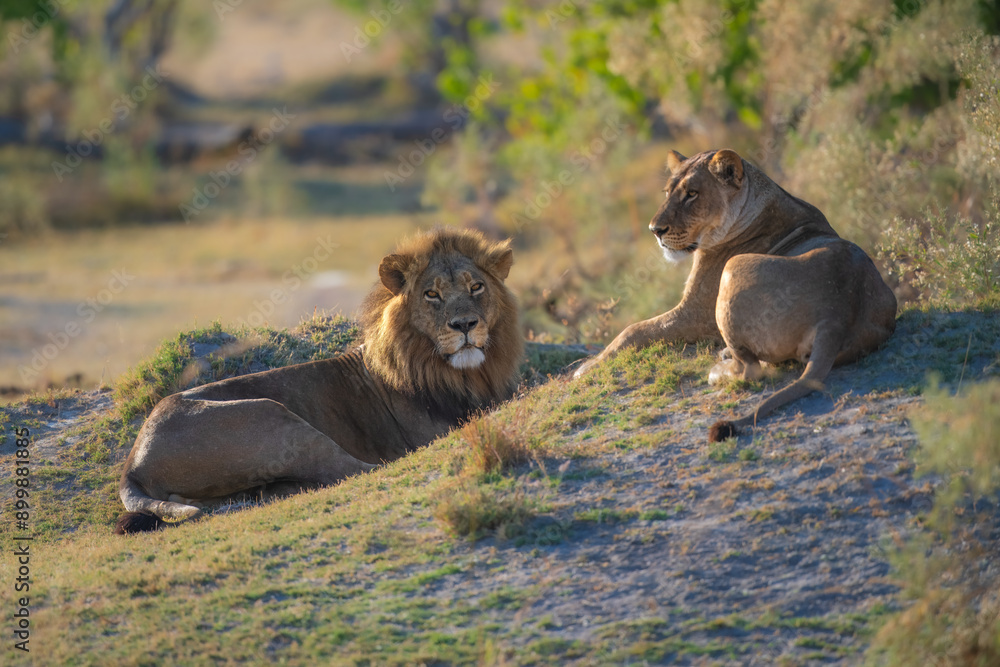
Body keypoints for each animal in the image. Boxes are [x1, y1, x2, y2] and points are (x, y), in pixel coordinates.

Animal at [115, 228, 523, 534]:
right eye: (432, 294)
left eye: (476, 288)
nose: (465, 325)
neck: (465, 373)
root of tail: (132, 463)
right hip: (274, 417)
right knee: (356, 469)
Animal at [574, 149, 897, 441]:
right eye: (667, 192)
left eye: (692, 194)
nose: (655, 230)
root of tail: (837, 315)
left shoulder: (695, 314)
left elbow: (632, 330)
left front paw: (586, 367)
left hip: (734, 267)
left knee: (751, 370)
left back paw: (719, 369)